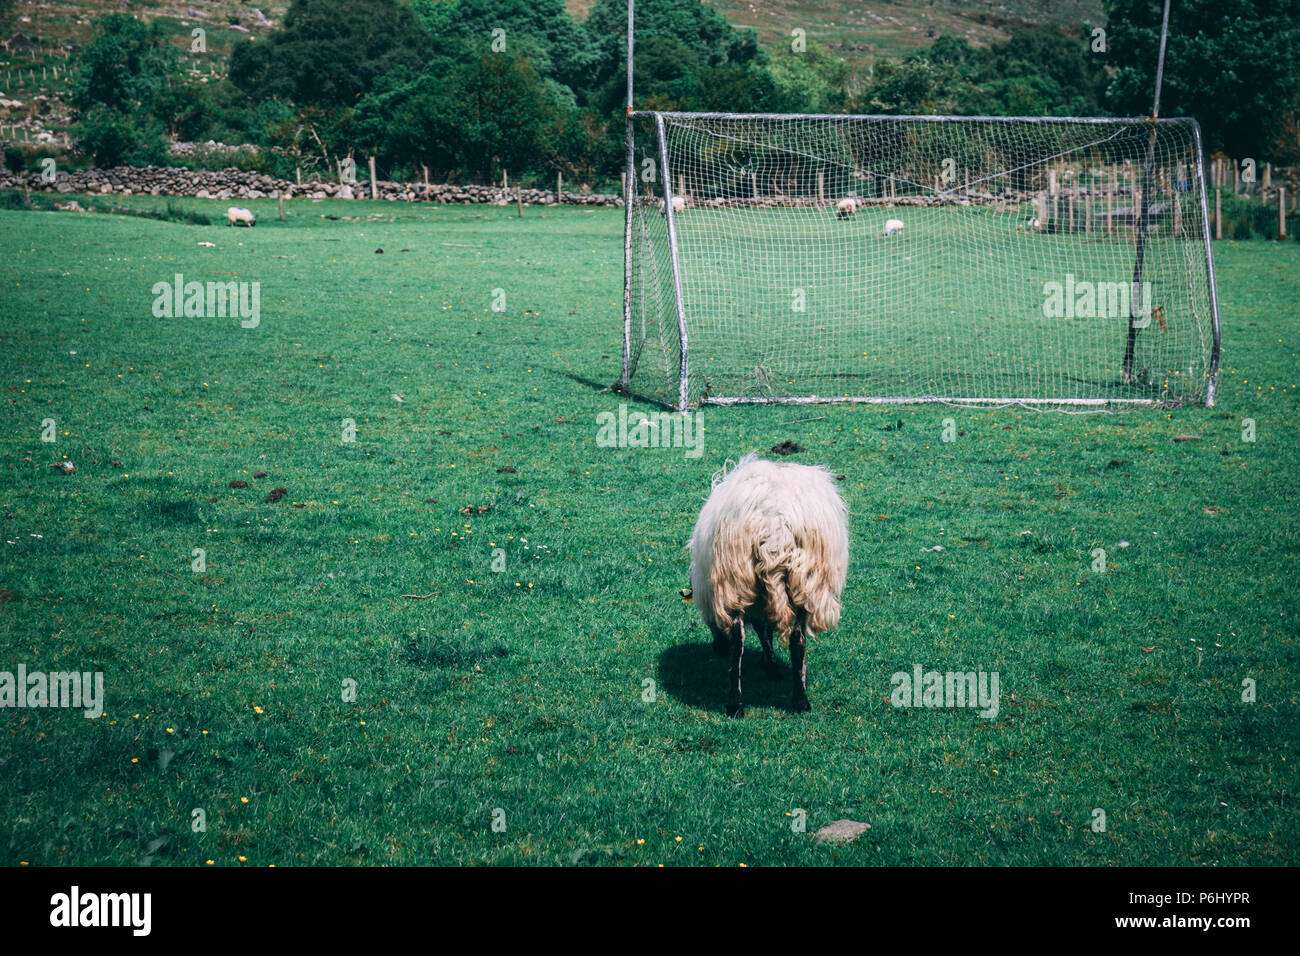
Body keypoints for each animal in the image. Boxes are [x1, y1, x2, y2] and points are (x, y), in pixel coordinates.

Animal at [688, 453, 849, 717]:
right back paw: (800, 701)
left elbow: (761, 630)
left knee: (738, 641)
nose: (717, 650)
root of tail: (775, 524)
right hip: (804, 583)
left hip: (735, 582)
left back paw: (735, 703)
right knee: (797, 640)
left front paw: (770, 664)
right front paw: (772, 665)